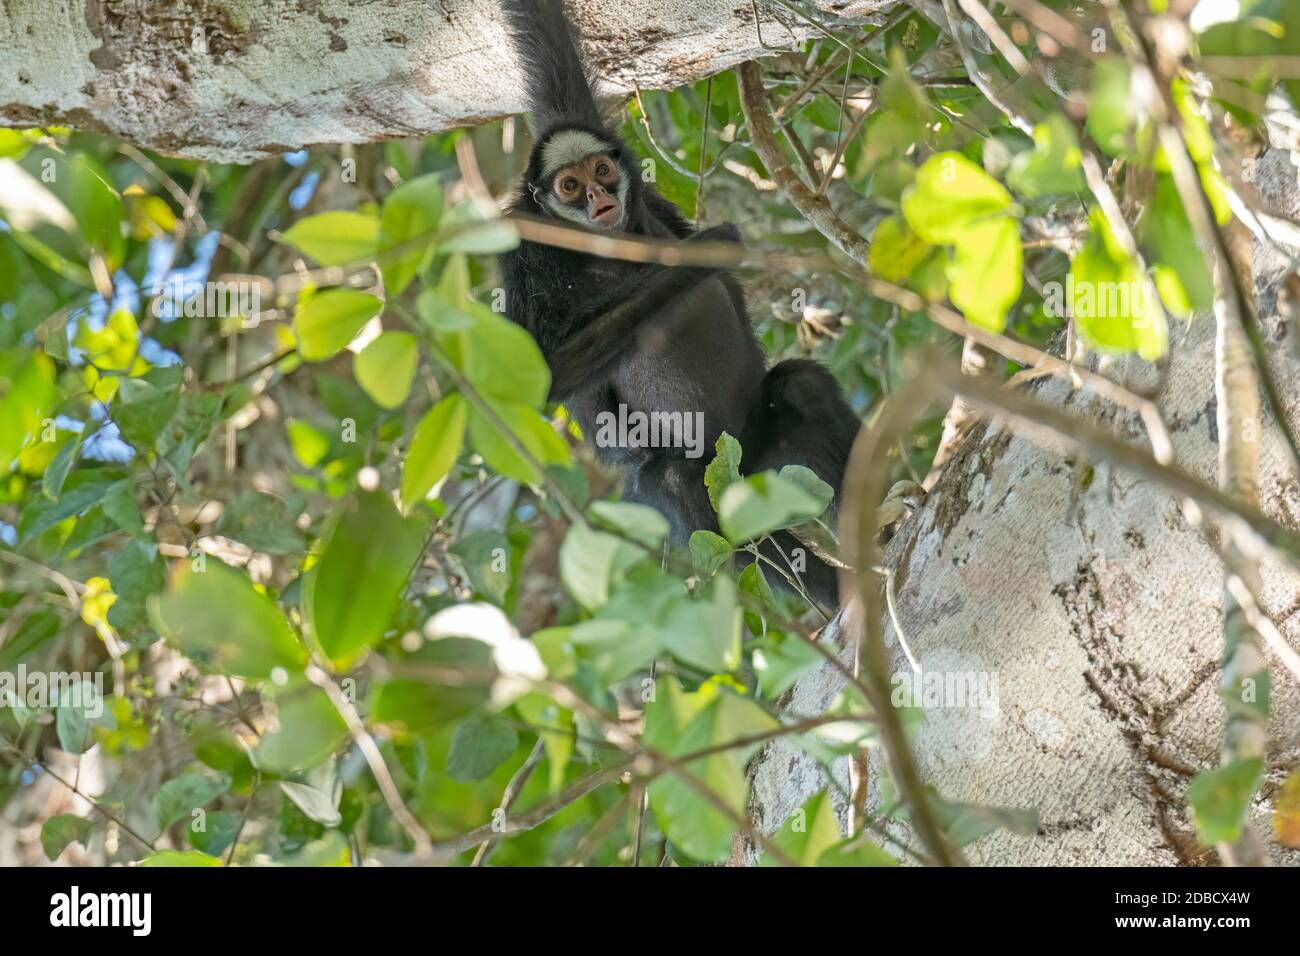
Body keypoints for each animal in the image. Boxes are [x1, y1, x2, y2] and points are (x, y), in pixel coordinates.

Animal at [497, 0, 861, 612]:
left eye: (600, 172)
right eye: (569, 186)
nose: (596, 198)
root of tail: (741, 451)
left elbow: (549, 48)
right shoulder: (525, 251)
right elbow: (543, 374)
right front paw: (702, 253)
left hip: (763, 446)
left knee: (799, 387)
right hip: (708, 470)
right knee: (676, 484)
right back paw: (836, 598)